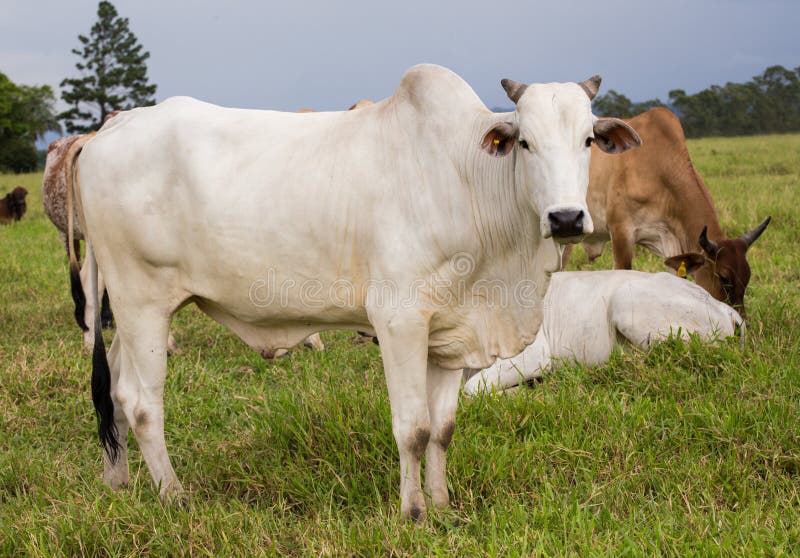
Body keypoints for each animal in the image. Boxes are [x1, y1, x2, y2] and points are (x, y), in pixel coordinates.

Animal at [68, 64, 640, 520]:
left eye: (588, 140)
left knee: (114, 392)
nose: (566, 218)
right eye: (524, 142)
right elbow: (413, 428)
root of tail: (110, 127)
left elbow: (442, 429)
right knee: (142, 403)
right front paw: (413, 513)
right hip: (143, 303)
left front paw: (443, 506)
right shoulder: (398, 322)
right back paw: (174, 496)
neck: (465, 180)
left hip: (131, 312)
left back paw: (118, 484)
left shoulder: (449, 334)